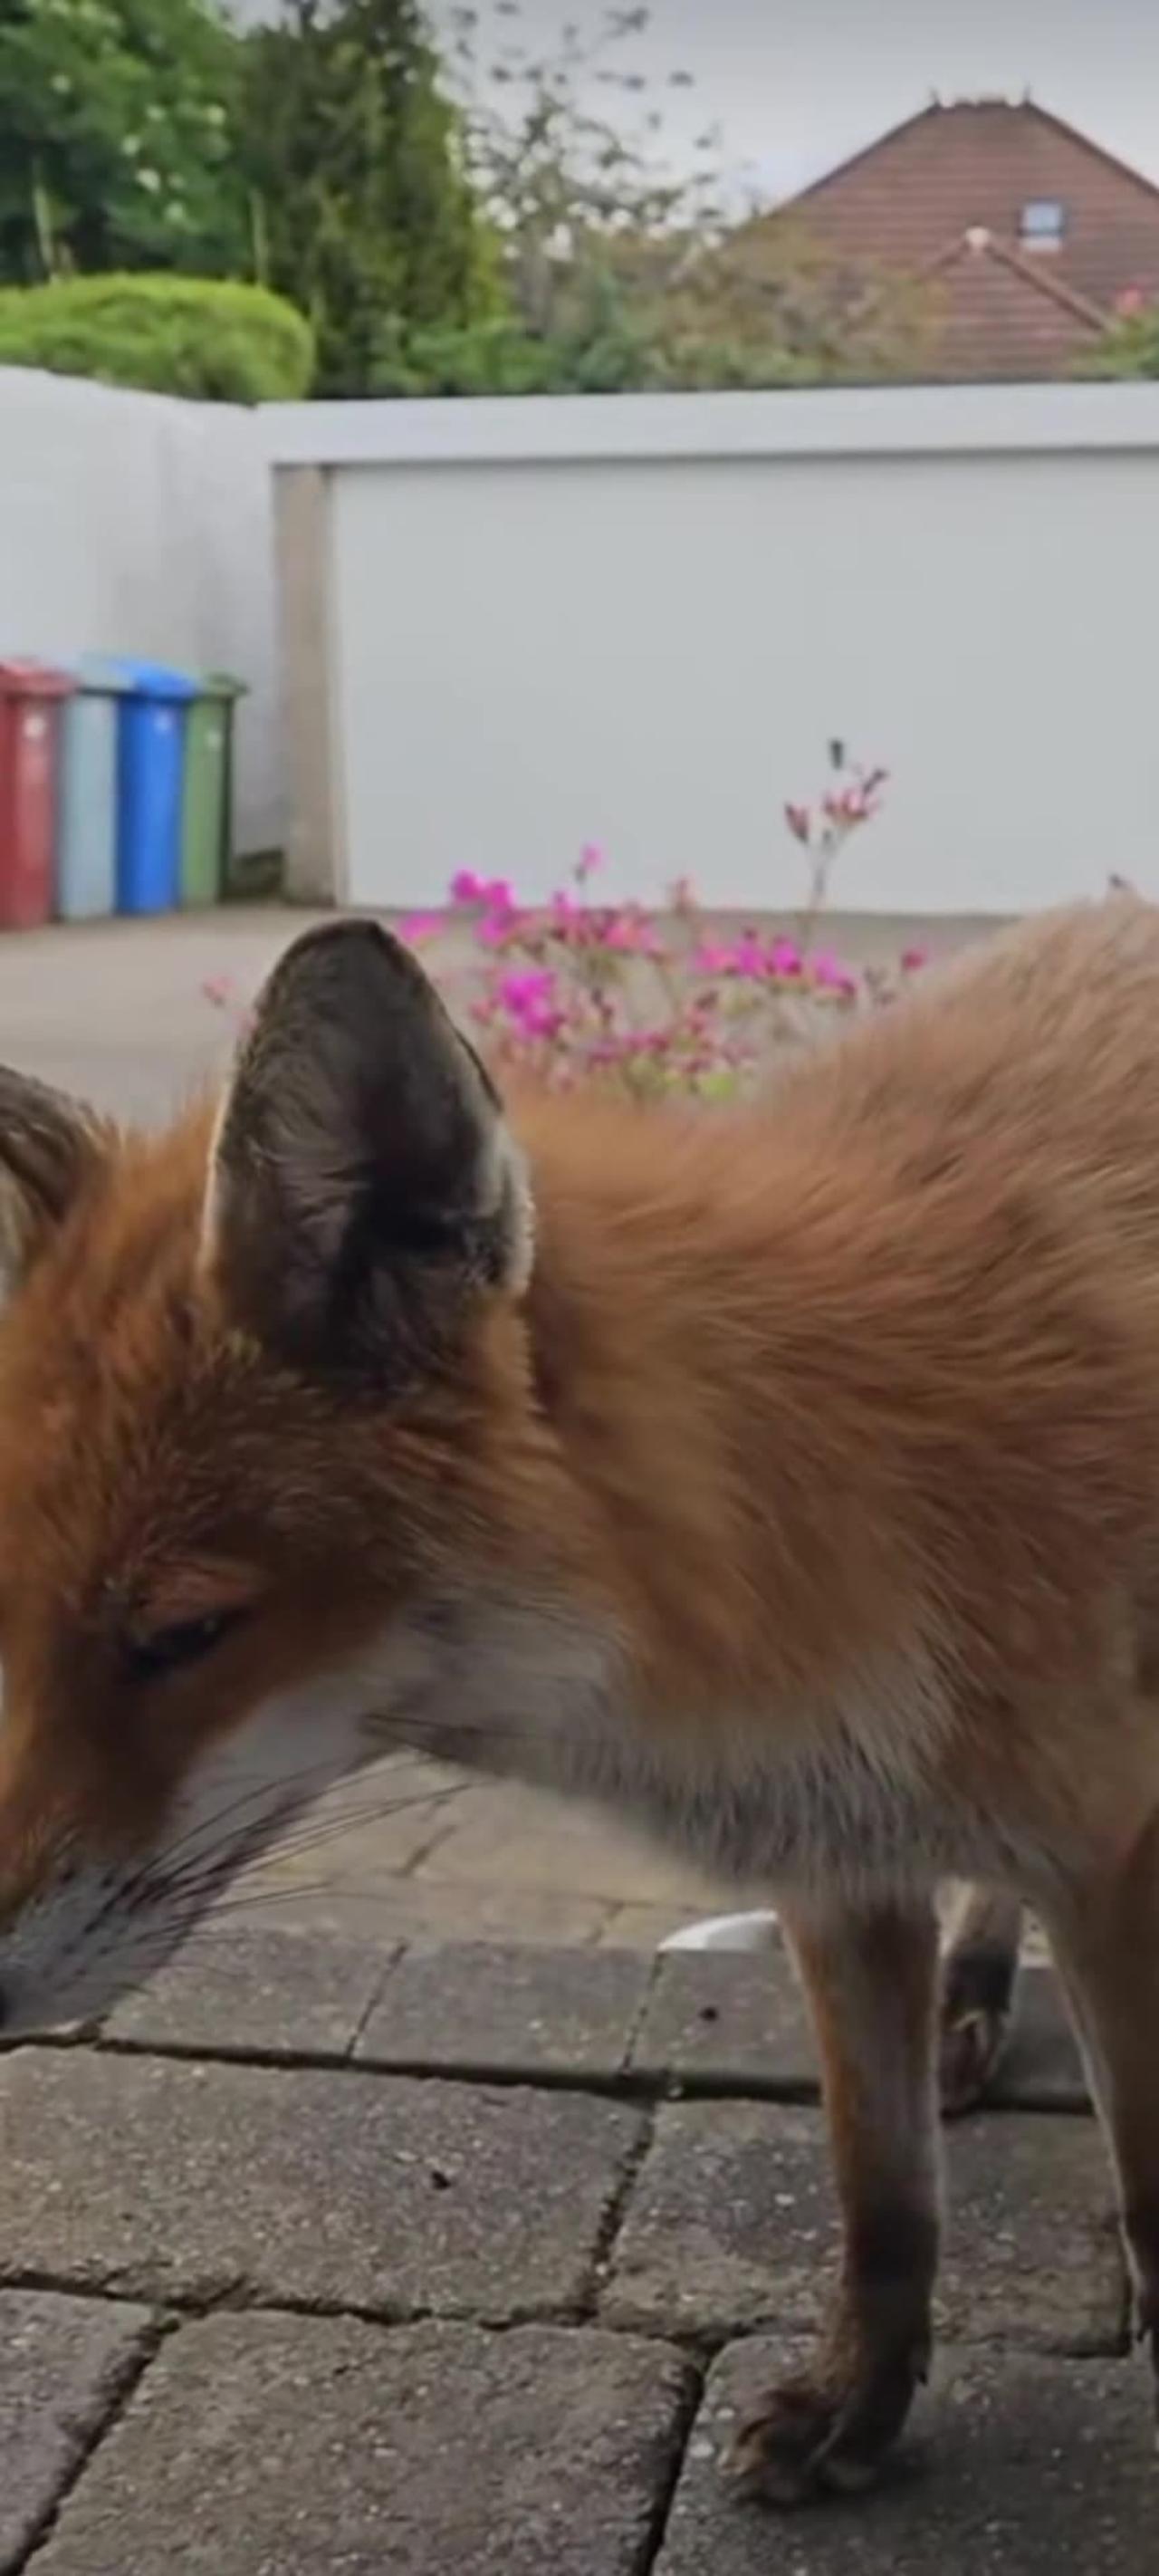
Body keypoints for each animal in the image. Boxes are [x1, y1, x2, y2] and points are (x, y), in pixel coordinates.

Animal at [0, 891, 1157, 2507]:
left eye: (183, 1633)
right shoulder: (840, 1854)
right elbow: (882, 2199)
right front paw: (862, 2406)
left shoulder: (1110, 1848)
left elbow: (1155, 2207)